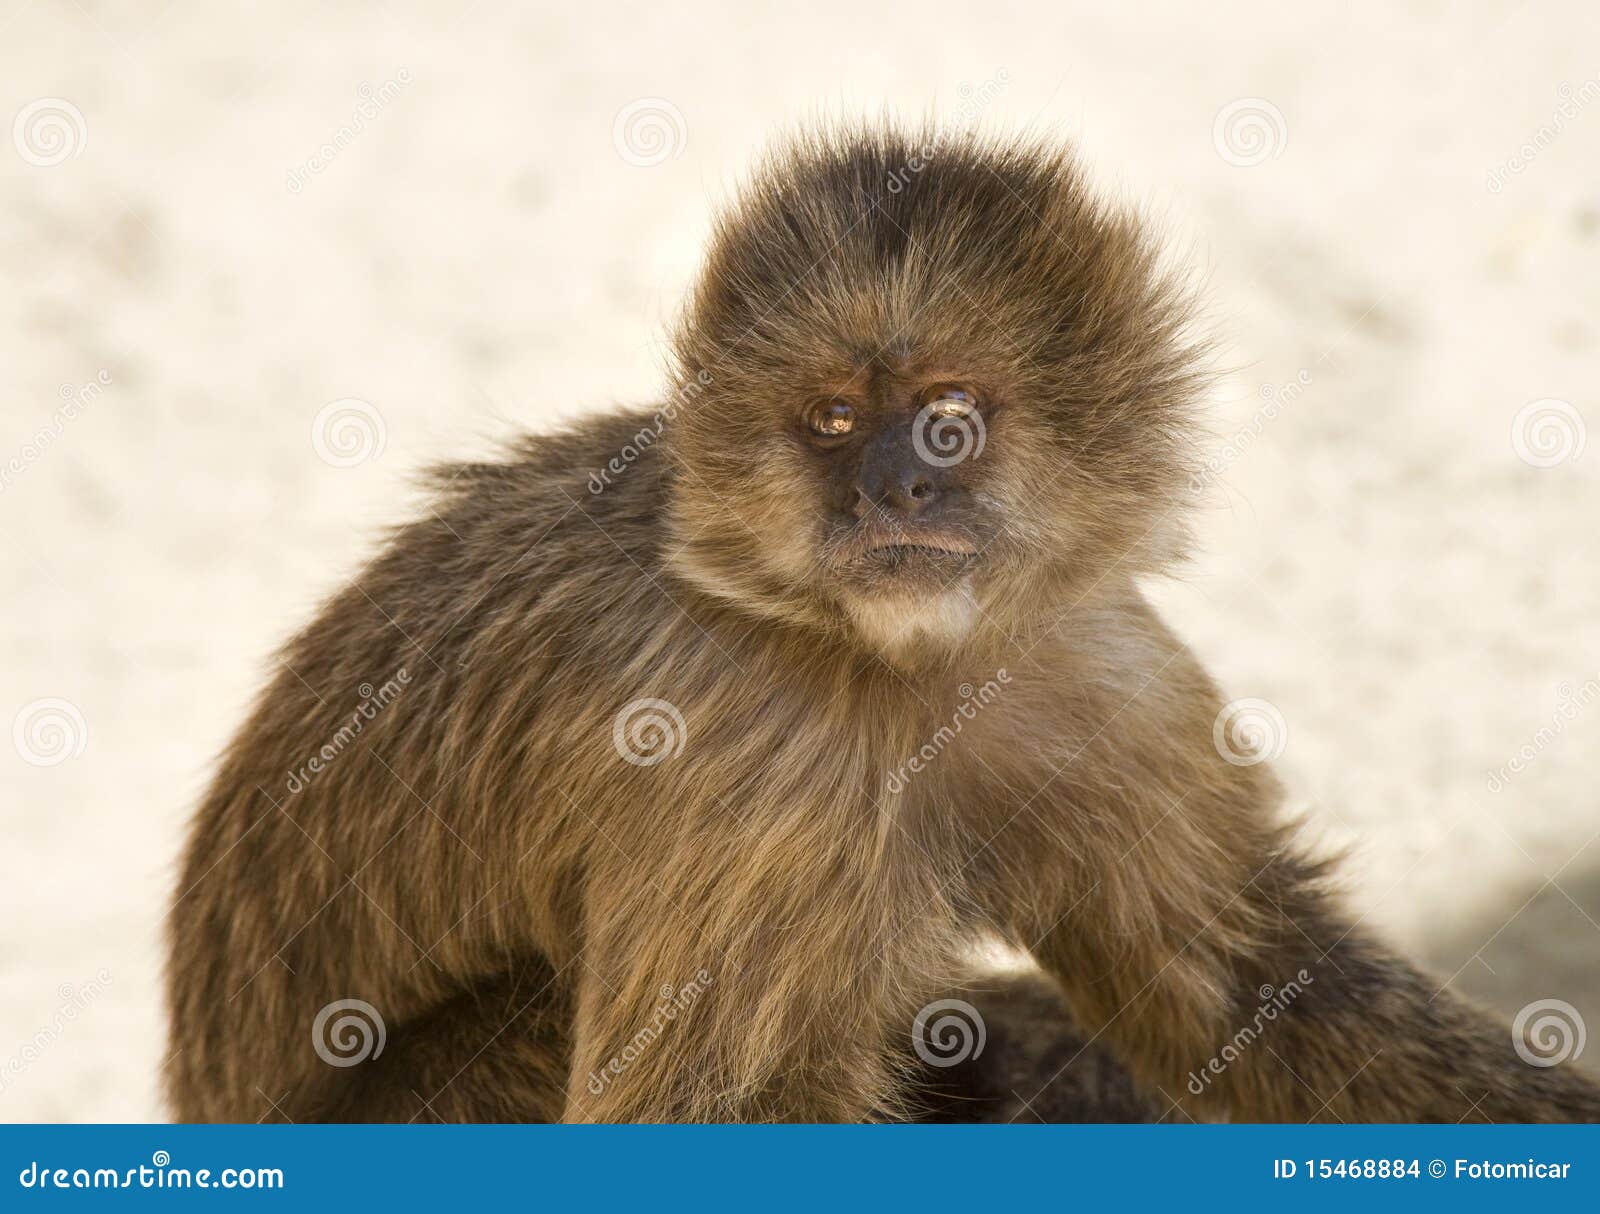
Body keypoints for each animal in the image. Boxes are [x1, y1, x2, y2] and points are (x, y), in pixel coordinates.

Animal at [166, 123, 1600, 1124]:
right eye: (835, 417)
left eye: (947, 416)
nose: (894, 488)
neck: (895, 661)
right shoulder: (737, 762)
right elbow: (711, 1108)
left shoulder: (1098, 660)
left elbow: (1241, 987)